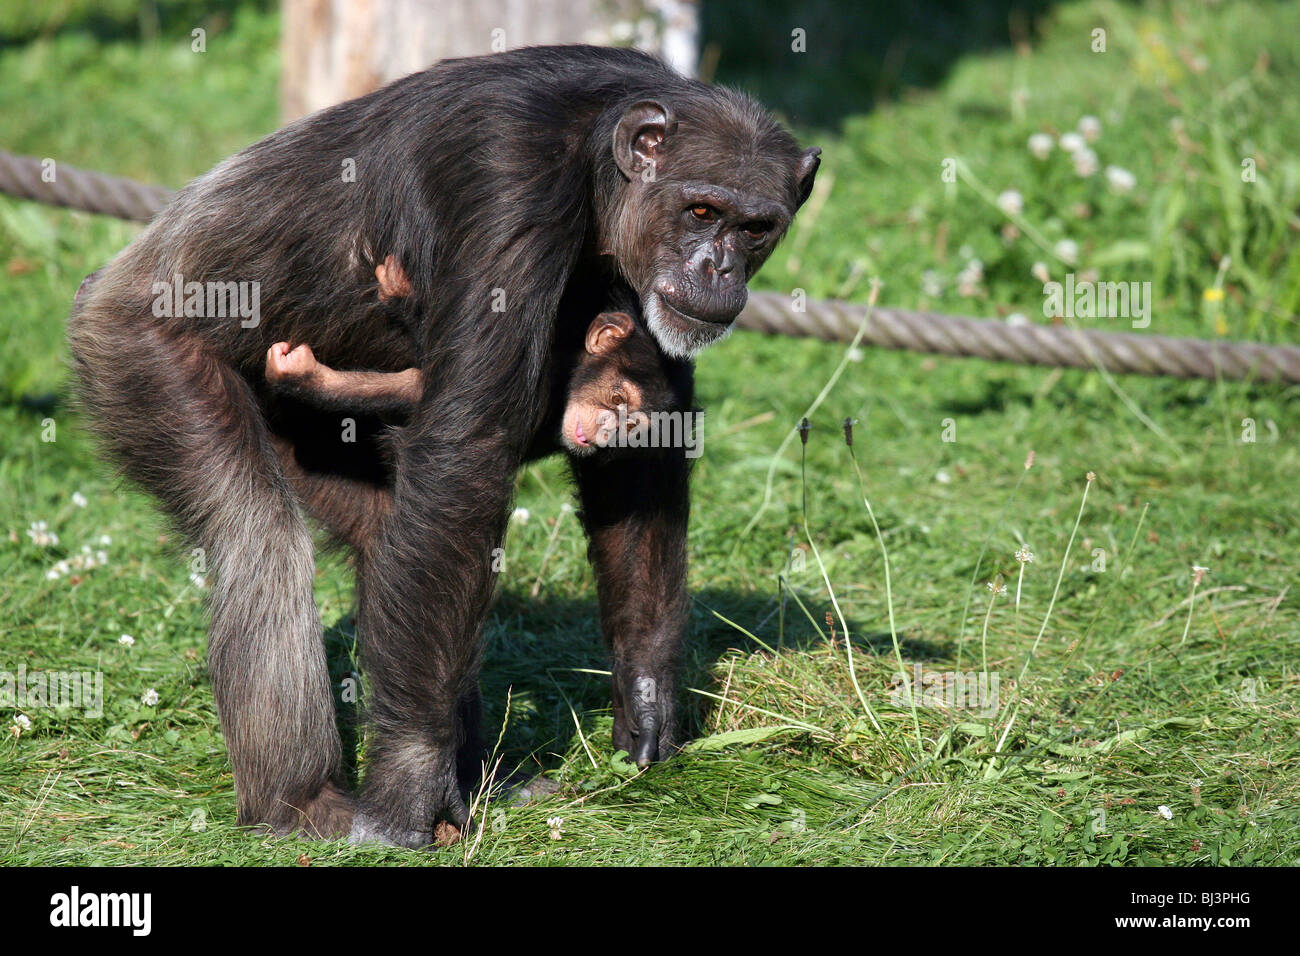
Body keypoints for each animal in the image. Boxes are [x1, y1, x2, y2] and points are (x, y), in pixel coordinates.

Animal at [67, 45, 820, 848]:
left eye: (756, 227)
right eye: (701, 210)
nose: (718, 268)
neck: (595, 171)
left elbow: (633, 473)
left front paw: (648, 706)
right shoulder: (508, 190)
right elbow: (466, 450)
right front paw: (404, 788)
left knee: (401, 547)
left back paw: (475, 785)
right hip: (137, 354)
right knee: (261, 540)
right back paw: (308, 801)